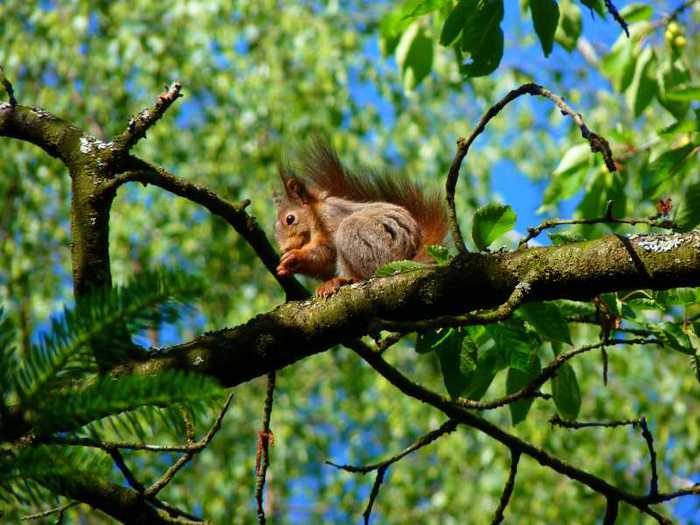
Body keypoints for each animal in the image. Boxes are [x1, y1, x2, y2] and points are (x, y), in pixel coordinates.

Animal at [273, 139, 447, 297]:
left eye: (290, 219)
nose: (285, 248)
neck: (315, 215)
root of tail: (409, 258)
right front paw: (288, 266)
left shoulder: (331, 219)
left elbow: (326, 249)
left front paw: (296, 255)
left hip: (370, 243)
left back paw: (343, 280)